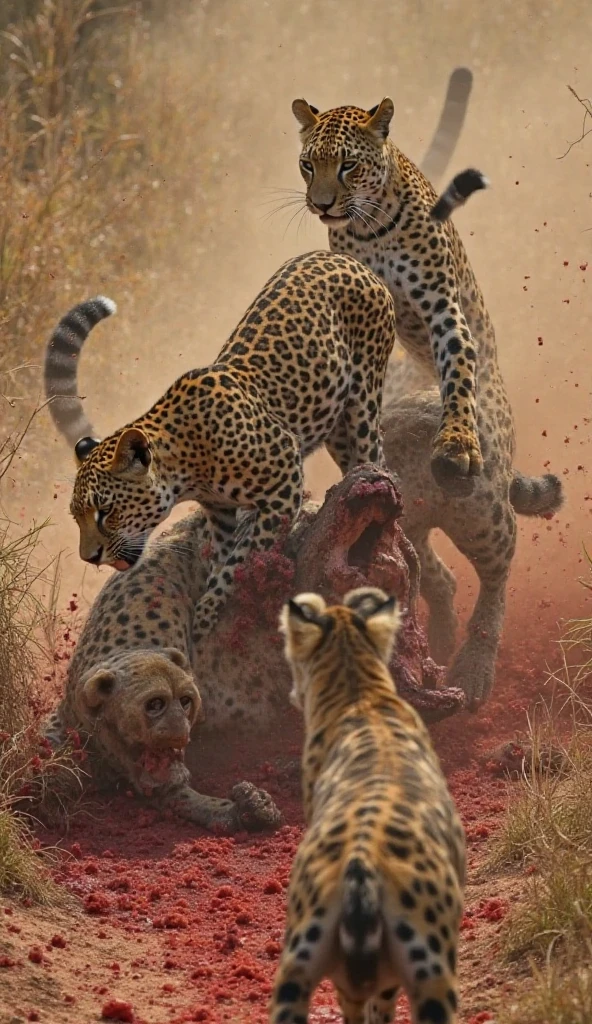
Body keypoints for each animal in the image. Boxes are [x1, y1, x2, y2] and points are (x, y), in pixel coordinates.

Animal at [44, 251, 397, 649]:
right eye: (77, 517)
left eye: (106, 512)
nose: (90, 558)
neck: (186, 465)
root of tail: (340, 256)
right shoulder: (220, 511)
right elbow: (224, 553)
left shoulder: (285, 476)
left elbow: (248, 554)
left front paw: (215, 607)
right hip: (333, 422)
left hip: (363, 395)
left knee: (372, 452)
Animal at [291, 98, 564, 708]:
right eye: (307, 164)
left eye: (347, 165)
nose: (321, 204)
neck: (368, 228)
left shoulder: (442, 308)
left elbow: (457, 372)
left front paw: (456, 444)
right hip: (418, 521)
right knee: (432, 570)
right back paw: (436, 632)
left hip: (486, 518)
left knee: (495, 573)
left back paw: (474, 669)